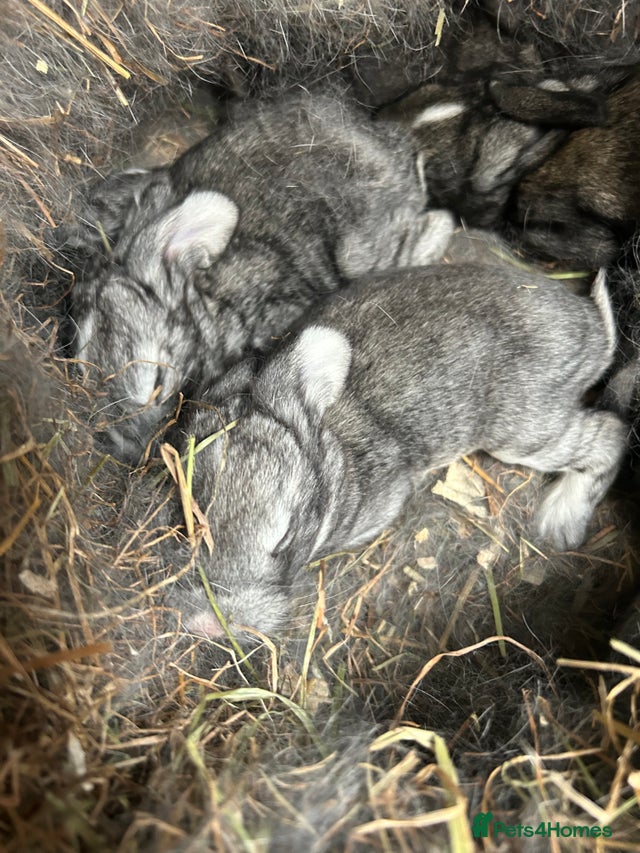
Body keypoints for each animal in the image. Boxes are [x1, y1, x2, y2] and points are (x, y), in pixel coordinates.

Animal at [166, 263, 627, 639]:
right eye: (189, 523)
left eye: (284, 539)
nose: (206, 626)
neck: (335, 457)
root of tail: (593, 329)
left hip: (524, 427)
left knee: (610, 434)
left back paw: (559, 522)